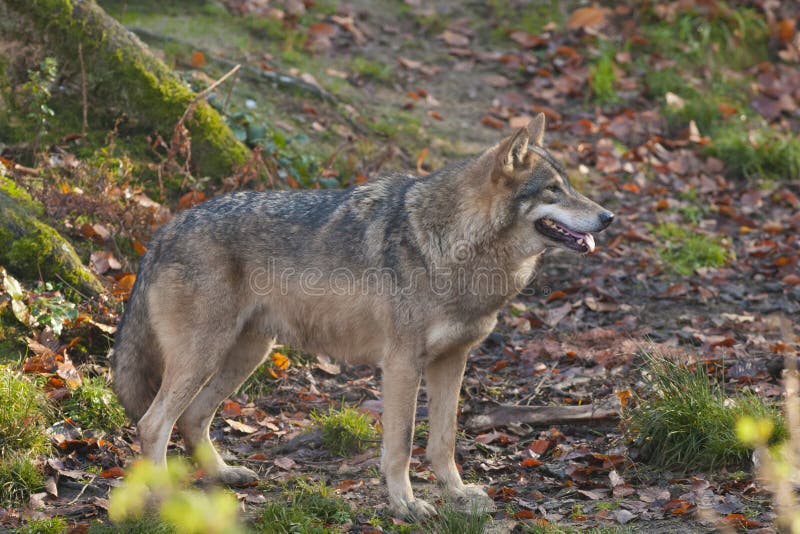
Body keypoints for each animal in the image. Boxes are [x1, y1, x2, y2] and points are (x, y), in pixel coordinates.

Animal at [111, 113, 614, 518]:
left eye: (570, 186)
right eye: (554, 190)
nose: (608, 217)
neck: (457, 246)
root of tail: (163, 230)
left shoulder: (452, 360)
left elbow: (444, 440)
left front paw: (457, 494)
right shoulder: (402, 364)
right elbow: (402, 444)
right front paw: (406, 505)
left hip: (247, 354)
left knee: (193, 418)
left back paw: (224, 475)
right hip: (206, 356)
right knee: (153, 425)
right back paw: (163, 501)